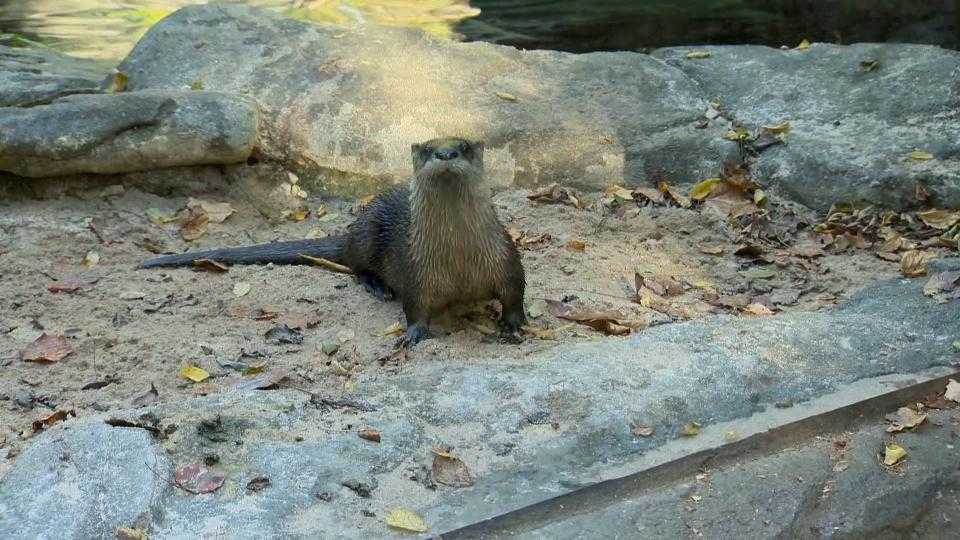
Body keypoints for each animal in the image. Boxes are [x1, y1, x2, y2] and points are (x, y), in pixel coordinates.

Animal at [141, 137, 526, 347]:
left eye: (463, 147)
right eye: (428, 149)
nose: (445, 155)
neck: (459, 258)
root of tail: (353, 230)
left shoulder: (506, 257)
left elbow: (515, 293)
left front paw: (513, 324)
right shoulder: (417, 273)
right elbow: (415, 308)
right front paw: (413, 334)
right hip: (369, 235)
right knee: (355, 265)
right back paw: (377, 286)